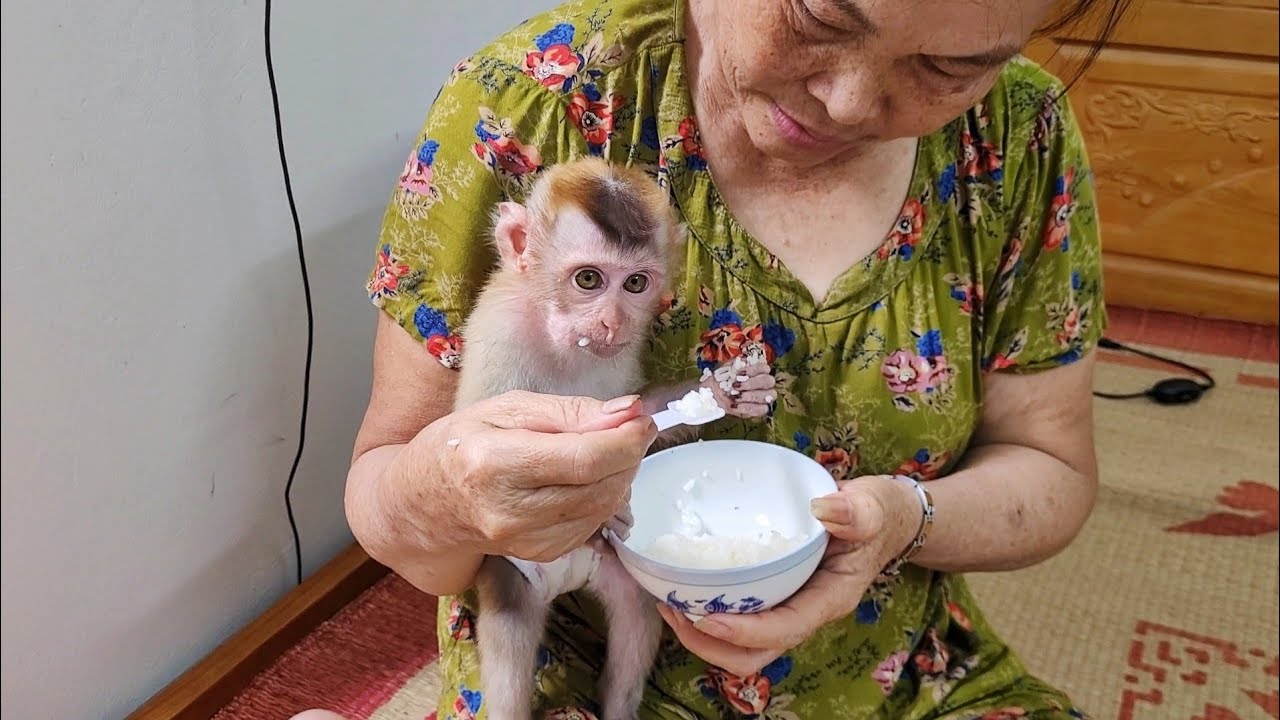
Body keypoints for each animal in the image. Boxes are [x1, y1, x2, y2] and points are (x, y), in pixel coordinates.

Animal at [450, 156, 774, 719]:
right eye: (588, 279)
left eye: (636, 284)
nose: (610, 321)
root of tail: (567, 573)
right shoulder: (503, 330)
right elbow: (475, 439)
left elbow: (640, 408)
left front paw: (727, 392)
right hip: (515, 572)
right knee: (510, 636)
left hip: (609, 565)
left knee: (636, 610)